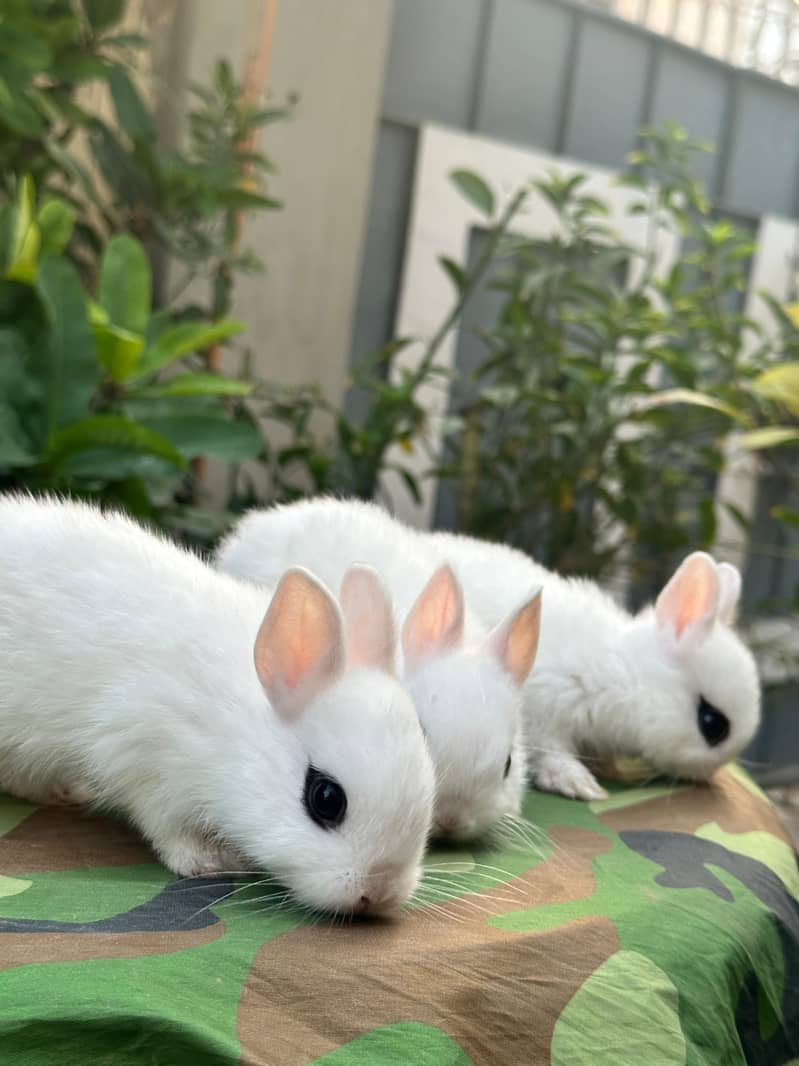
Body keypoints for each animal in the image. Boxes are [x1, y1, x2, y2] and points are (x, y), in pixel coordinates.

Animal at [0, 494, 436, 916]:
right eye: (325, 799)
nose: (377, 892)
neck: (231, 728)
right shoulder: (146, 762)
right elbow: (167, 827)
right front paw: (208, 861)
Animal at [426, 530, 761, 801]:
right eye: (712, 723)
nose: (707, 776)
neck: (624, 676)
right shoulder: (545, 711)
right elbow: (552, 752)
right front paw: (580, 785)